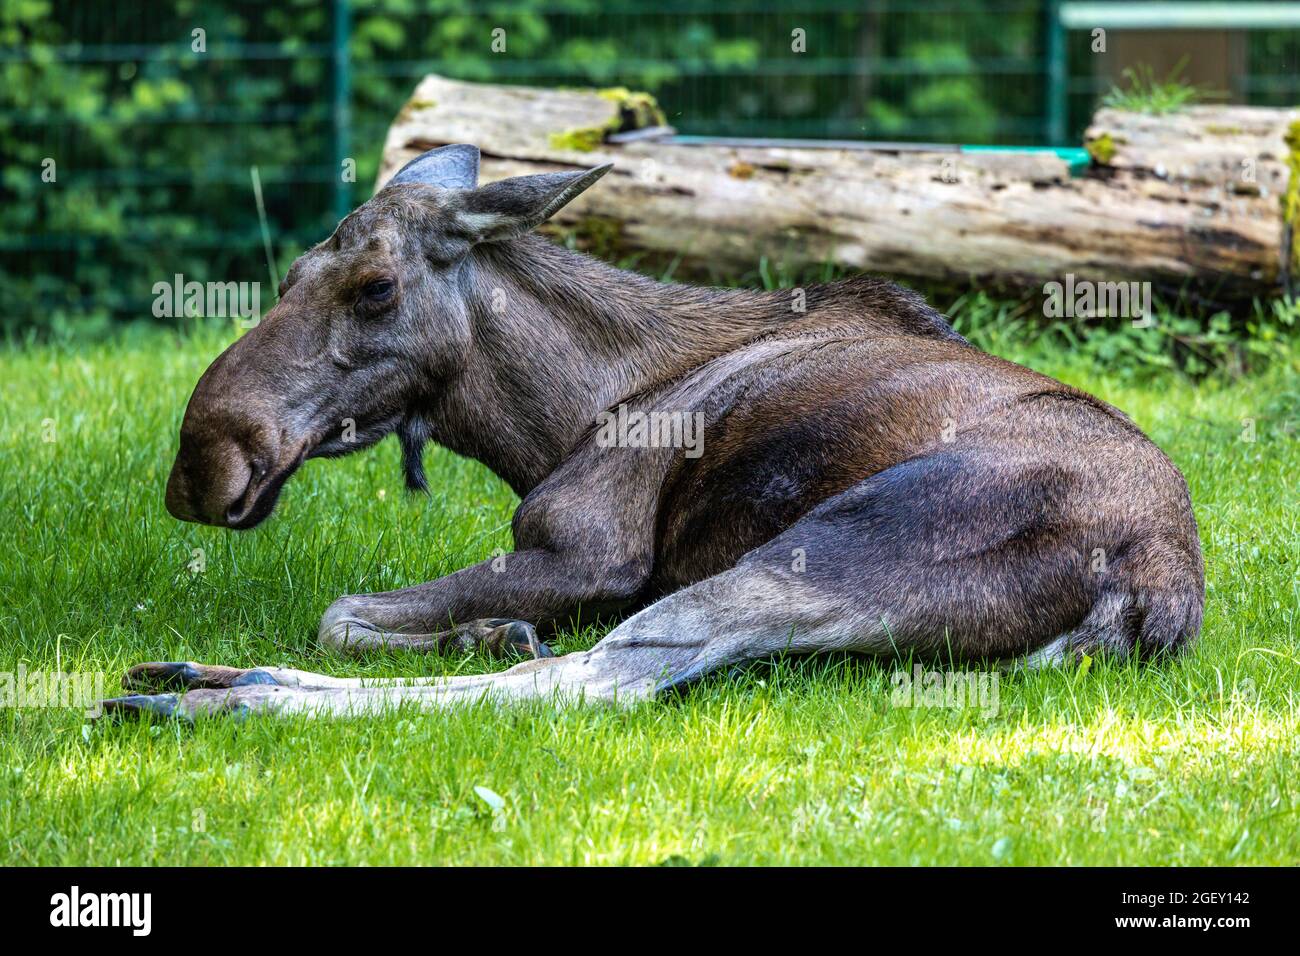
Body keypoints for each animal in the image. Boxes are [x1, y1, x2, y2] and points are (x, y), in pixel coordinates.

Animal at [102, 144, 1204, 720]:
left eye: (374, 286)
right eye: (289, 273)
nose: (204, 463)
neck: (554, 417)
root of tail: (1156, 592)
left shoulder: (592, 547)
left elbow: (340, 610)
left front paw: (487, 626)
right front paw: (488, 622)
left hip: (831, 547)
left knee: (593, 680)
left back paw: (221, 691)